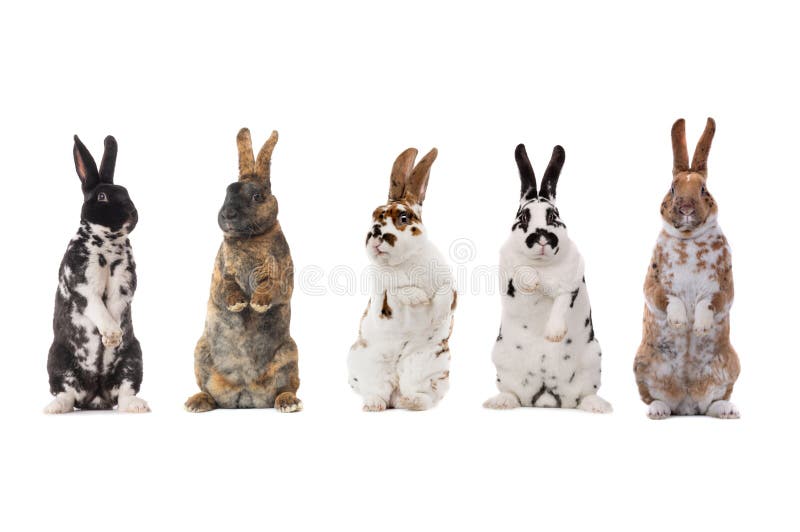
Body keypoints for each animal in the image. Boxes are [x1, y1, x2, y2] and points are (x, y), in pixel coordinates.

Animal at [44, 135, 149, 414]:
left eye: (127, 192)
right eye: (102, 196)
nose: (132, 214)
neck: (107, 242)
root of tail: (97, 395)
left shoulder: (124, 284)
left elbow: (114, 307)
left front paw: (114, 338)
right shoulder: (82, 284)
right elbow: (98, 309)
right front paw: (111, 335)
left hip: (133, 359)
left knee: (124, 392)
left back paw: (137, 406)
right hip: (57, 361)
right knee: (66, 394)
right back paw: (54, 407)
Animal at [185, 128, 302, 413]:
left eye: (257, 196)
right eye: (227, 192)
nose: (227, 214)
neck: (250, 238)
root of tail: (247, 393)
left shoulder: (282, 275)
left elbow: (270, 285)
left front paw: (257, 303)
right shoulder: (221, 274)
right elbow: (226, 287)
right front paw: (239, 303)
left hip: (290, 356)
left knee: (287, 388)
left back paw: (288, 403)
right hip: (200, 354)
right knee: (210, 393)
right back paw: (197, 402)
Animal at [347, 147, 457, 412]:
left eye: (404, 218)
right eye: (374, 215)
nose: (374, 235)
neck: (406, 261)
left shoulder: (450, 286)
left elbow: (445, 295)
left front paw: (436, 311)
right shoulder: (382, 293)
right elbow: (398, 290)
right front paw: (418, 298)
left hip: (428, 368)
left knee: (421, 395)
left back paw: (411, 401)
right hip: (367, 365)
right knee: (377, 392)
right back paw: (374, 405)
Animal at [483, 144, 611, 413]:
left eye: (553, 216)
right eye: (523, 217)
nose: (542, 237)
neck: (542, 266)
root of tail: (546, 397)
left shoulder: (571, 282)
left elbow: (561, 303)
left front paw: (553, 334)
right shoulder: (509, 273)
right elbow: (522, 272)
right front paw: (533, 281)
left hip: (593, 360)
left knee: (585, 395)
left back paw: (597, 406)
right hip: (500, 360)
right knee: (513, 393)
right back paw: (501, 402)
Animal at [634, 118, 740, 420]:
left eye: (703, 189)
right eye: (672, 187)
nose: (686, 208)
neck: (690, 238)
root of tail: (688, 402)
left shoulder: (724, 285)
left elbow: (712, 301)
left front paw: (700, 326)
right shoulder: (653, 281)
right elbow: (664, 297)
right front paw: (681, 322)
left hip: (730, 366)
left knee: (713, 402)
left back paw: (728, 410)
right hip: (642, 364)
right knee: (654, 398)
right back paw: (659, 411)